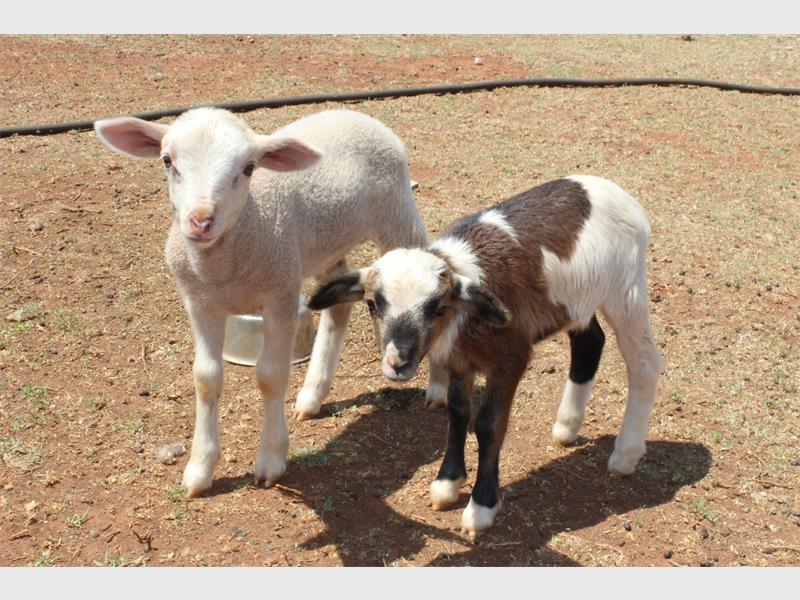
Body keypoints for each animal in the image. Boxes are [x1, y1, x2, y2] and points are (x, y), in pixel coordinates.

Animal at [94, 107, 437, 497]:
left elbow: (271, 376)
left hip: (397, 213)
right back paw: (311, 396)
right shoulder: (200, 303)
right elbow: (205, 378)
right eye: (167, 160)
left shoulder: (281, 295)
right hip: (322, 247)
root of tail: (352, 112)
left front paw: (271, 459)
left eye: (248, 168)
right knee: (338, 303)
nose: (201, 221)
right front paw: (199, 469)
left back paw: (439, 385)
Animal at [308, 175, 662, 536]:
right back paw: (567, 426)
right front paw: (447, 483)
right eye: (372, 304)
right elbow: (458, 413)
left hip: (626, 291)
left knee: (645, 362)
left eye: (438, 308)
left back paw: (625, 455)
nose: (398, 362)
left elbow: (490, 424)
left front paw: (481, 506)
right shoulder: (459, 362)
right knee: (590, 342)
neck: (465, 317)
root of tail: (612, 190)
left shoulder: (510, 359)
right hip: (578, 302)